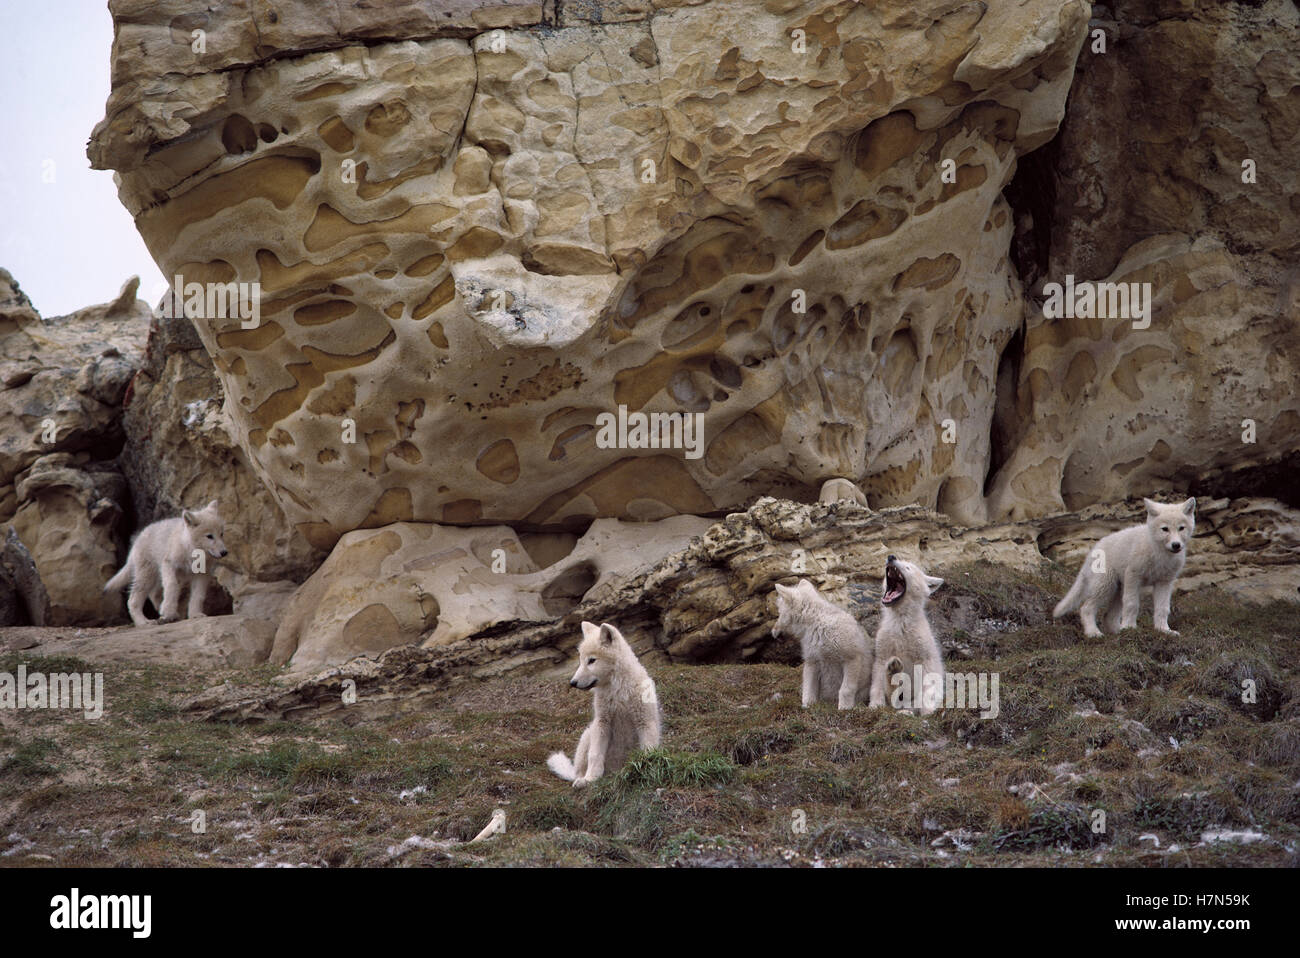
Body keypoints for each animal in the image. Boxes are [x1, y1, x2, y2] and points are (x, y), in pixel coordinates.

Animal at [547, 621, 661, 787]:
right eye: (581, 660)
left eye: (591, 660)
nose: (572, 683)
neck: (618, 689)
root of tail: (613, 773)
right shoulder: (602, 723)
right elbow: (595, 755)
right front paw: (591, 779)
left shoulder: (645, 721)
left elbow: (648, 749)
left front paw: (646, 767)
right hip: (588, 734)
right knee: (579, 771)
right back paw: (582, 780)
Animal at [771, 578, 873, 709]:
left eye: (780, 613)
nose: (773, 633)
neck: (818, 622)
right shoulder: (812, 662)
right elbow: (808, 691)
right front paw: (806, 708)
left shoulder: (852, 659)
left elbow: (845, 689)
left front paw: (844, 709)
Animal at [869, 555, 945, 715]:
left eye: (908, 567)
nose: (891, 557)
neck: (901, 620)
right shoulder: (883, 649)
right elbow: (877, 680)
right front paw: (875, 705)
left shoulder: (924, 652)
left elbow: (928, 683)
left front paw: (927, 712)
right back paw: (894, 670)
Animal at [1054, 497, 1195, 637]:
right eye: (1165, 529)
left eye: (1181, 528)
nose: (1176, 545)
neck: (1159, 554)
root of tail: (1093, 550)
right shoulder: (1133, 576)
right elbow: (1132, 605)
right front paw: (1130, 628)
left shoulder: (1164, 582)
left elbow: (1163, 608)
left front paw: (1163, 630)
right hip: (1106, 586)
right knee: (1086, 608)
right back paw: (1094, 633)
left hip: (1118, 590)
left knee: (1108, 617)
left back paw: (1118, 632)